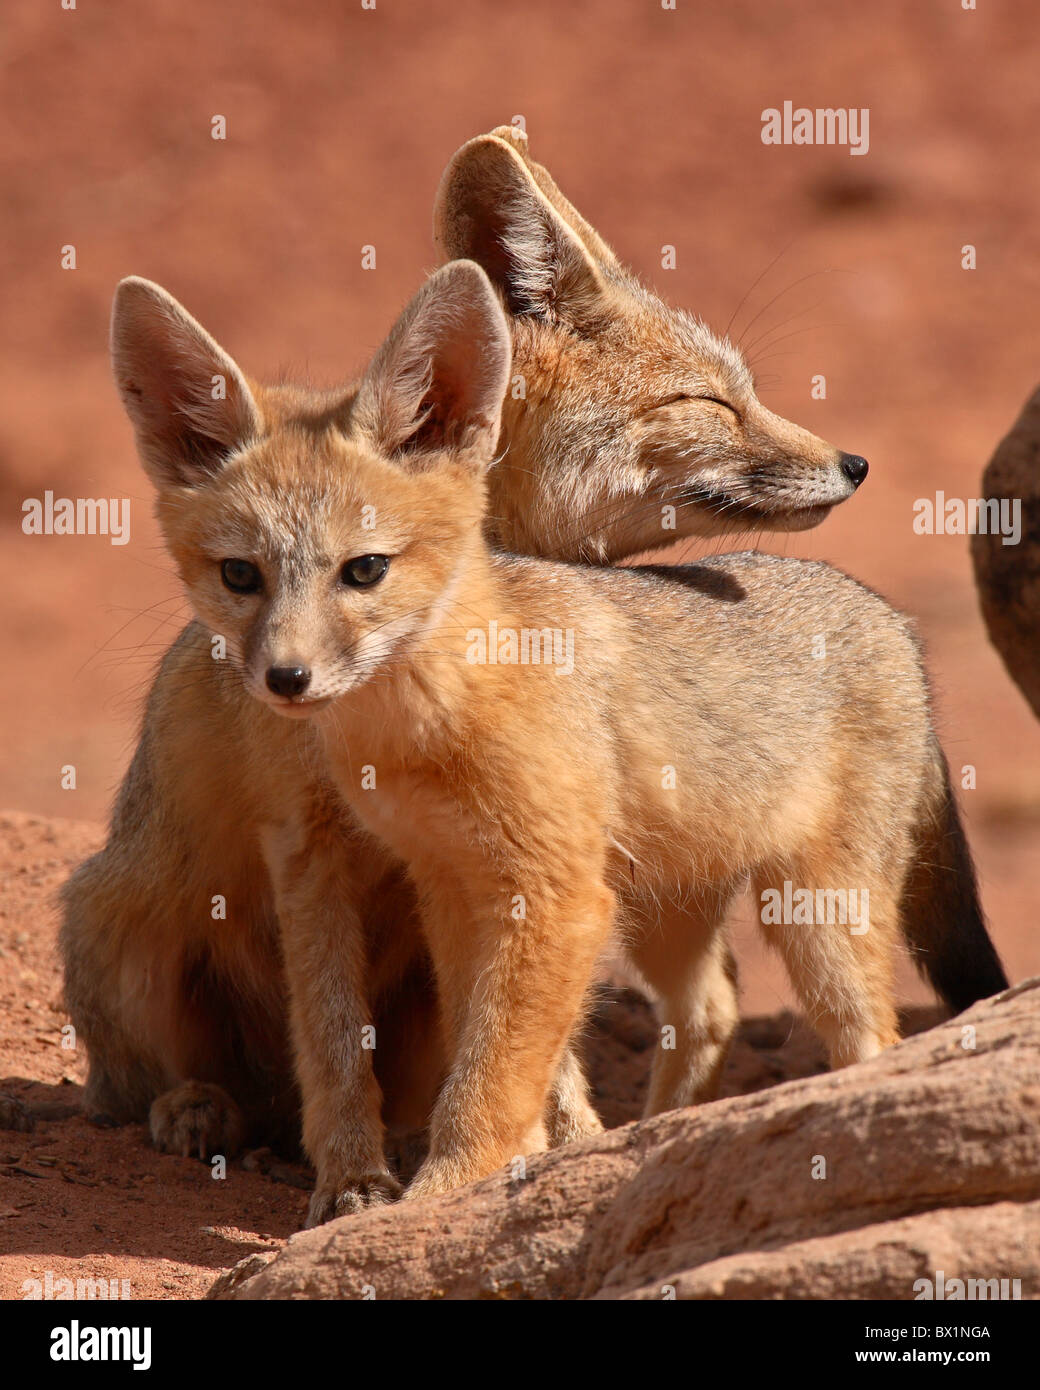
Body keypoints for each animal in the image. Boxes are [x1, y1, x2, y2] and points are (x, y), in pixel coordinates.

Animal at [61, 125, 871, 1223]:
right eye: (708, 403)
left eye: (749, 393)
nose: (854, 462)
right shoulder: (308, 843)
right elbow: (334, 1040)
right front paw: (355, 1182)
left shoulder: (522, 847)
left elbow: (529, 1043)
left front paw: (554, 1150)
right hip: (131, 923)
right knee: (135, 1084)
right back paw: (197, 1108)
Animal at [131, 256, 1008, 1203]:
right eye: (240, 576)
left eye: (364, 571)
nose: (284, 678)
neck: (426, 728)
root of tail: (894, 618)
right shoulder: (455, 889)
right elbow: (486, 1059)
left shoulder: (556, 898)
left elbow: (488, 1081)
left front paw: (440, 1198)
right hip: (667, 913)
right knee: (710, 1008)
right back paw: (656, 1137)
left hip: (816, 923)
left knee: (868, 1043)